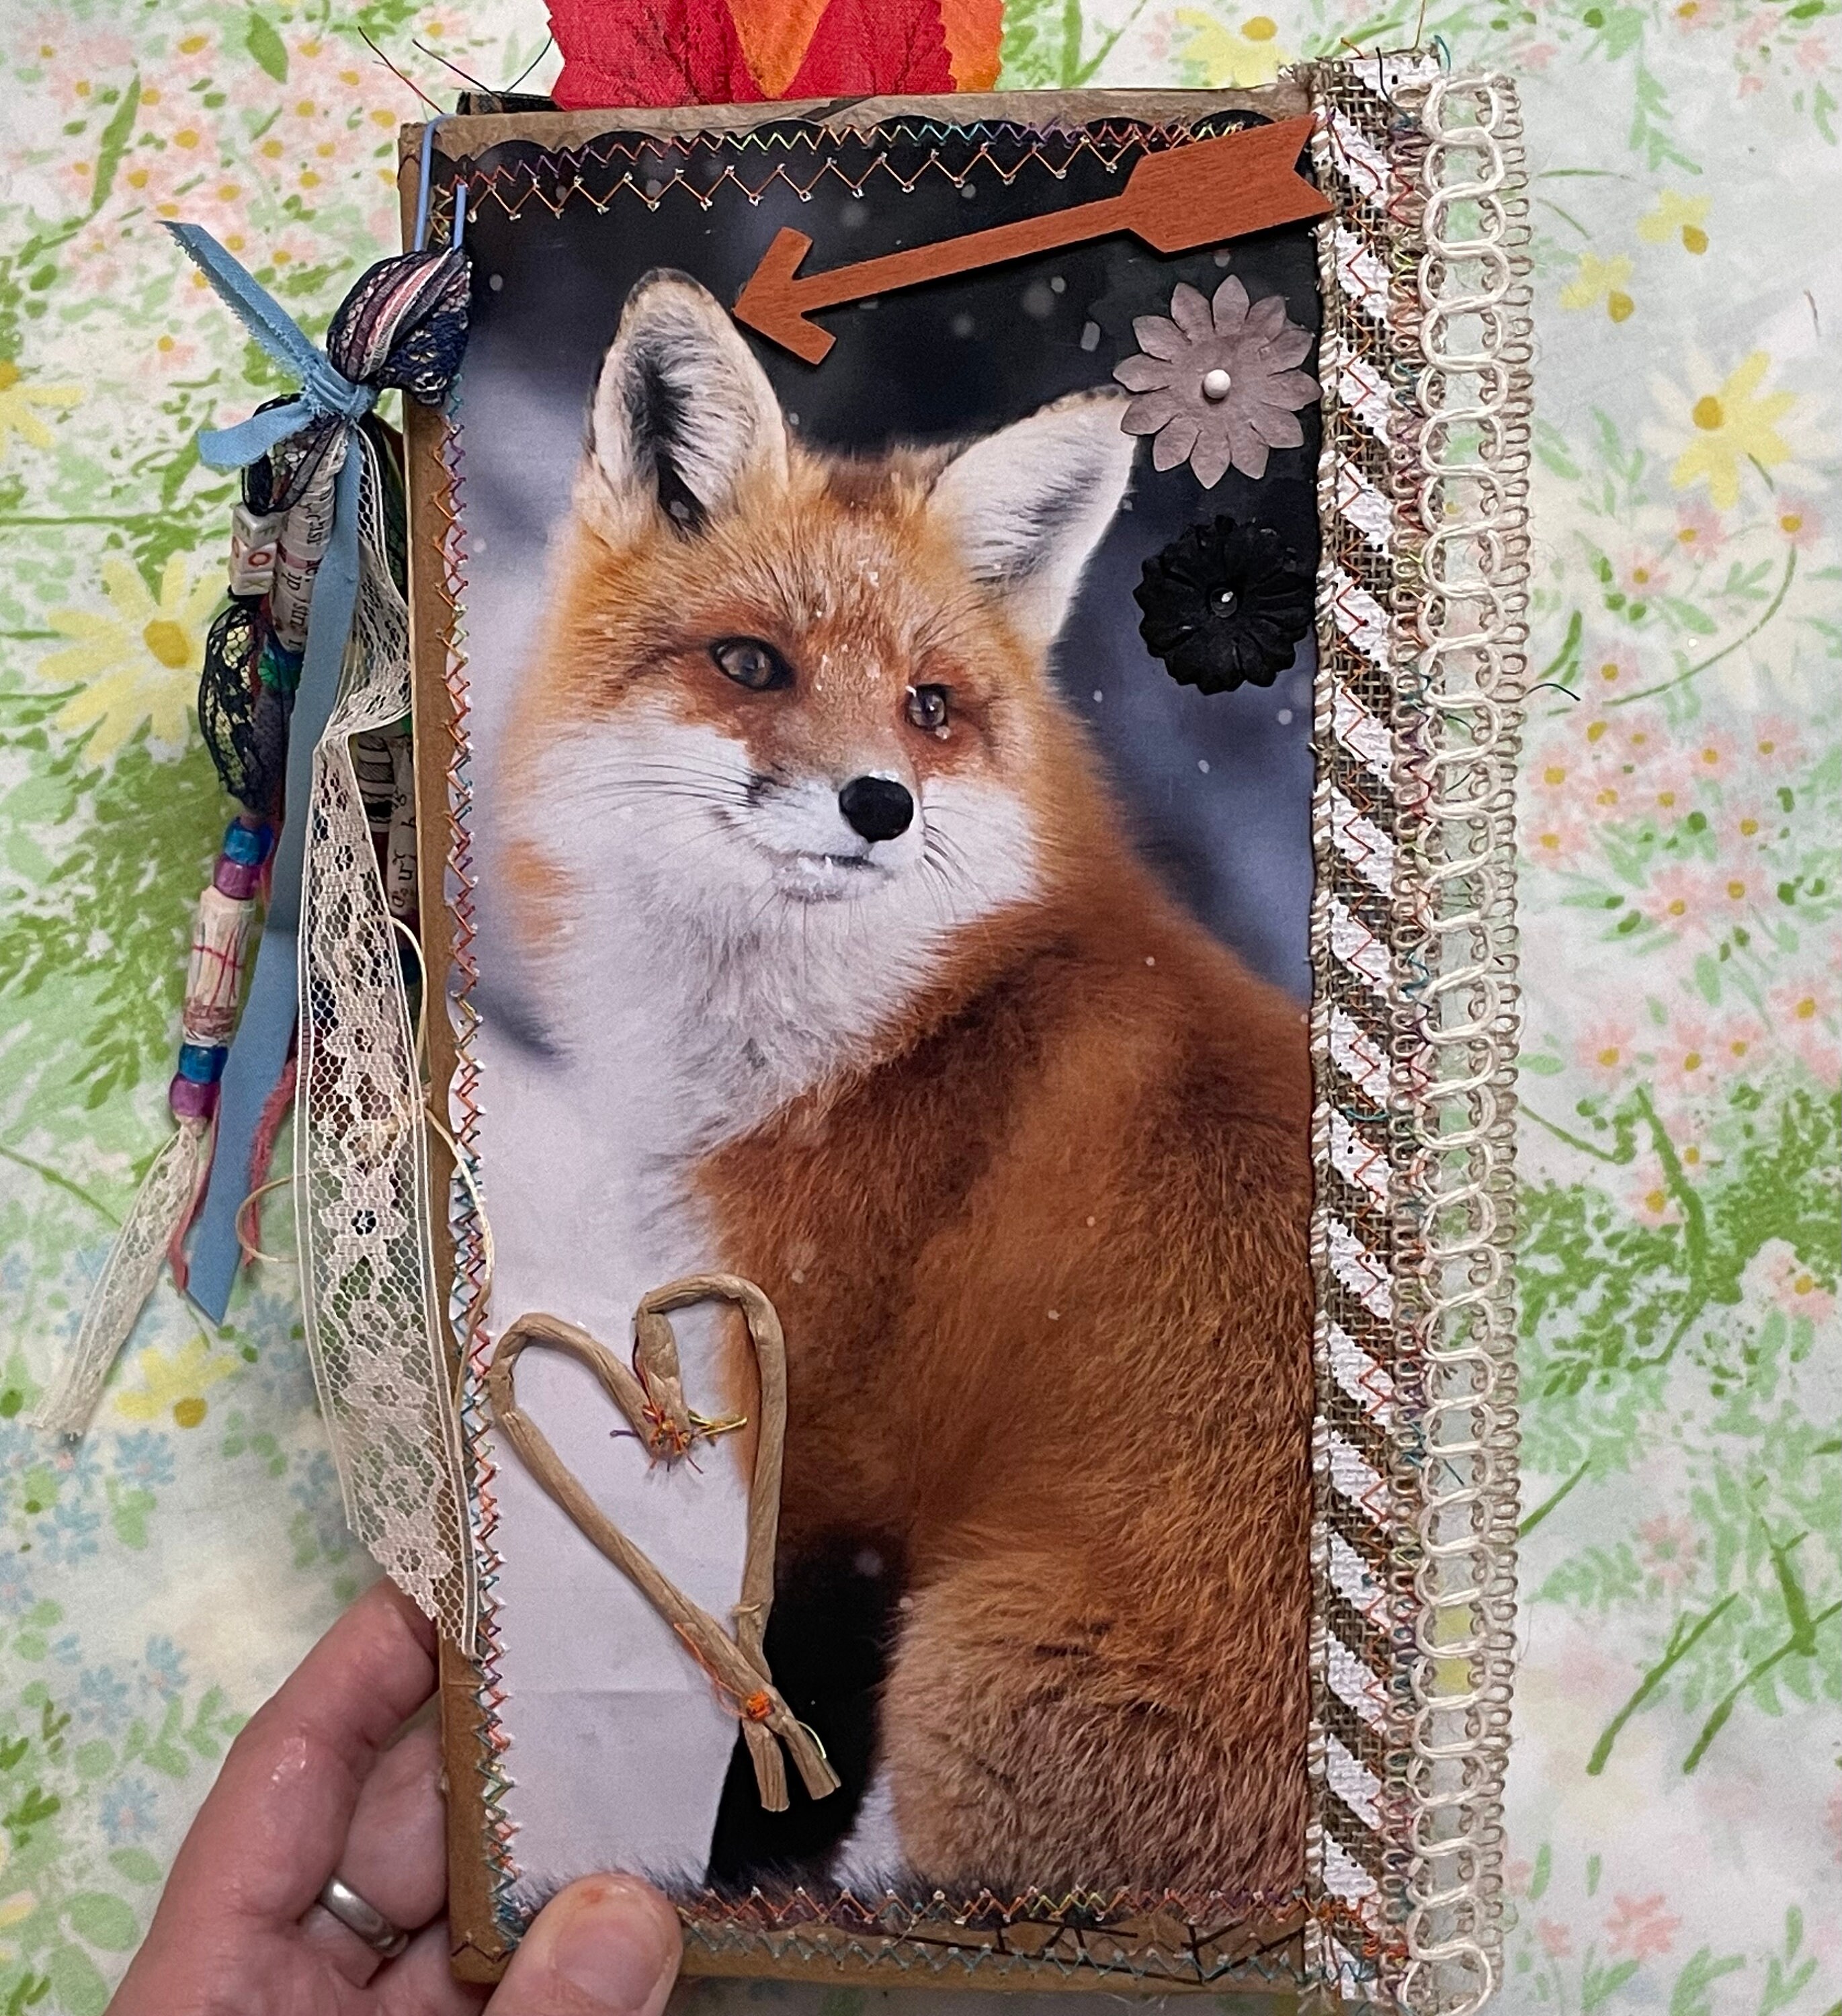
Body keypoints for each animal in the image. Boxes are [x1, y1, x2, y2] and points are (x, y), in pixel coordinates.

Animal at [491, 269, 1315, 1904]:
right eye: (753, 663)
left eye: (929, 704)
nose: (880, 806)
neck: (888, 1037)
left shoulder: (847, 1466)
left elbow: (777, 1800)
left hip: (960, 1670)